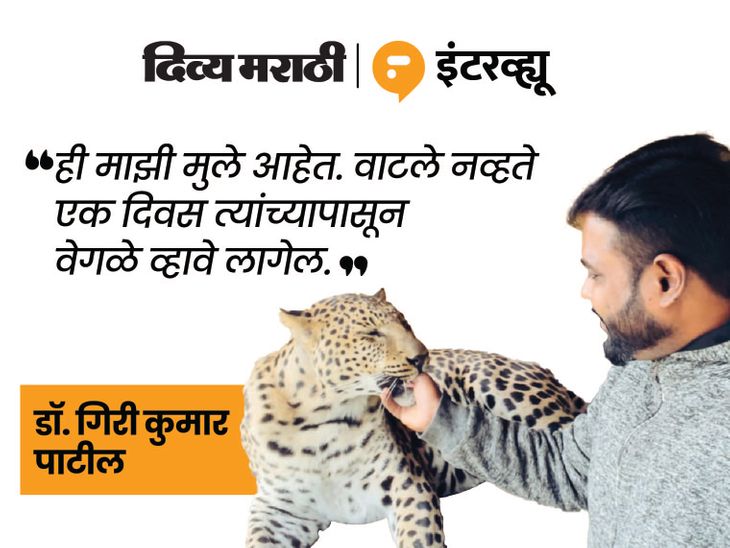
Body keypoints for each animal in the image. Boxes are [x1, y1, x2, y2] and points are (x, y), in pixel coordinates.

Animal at [240, 289, 586, 547]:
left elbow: (420, 538)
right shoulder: (280, 509)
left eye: (405, 323)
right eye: (372, 334)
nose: (422, 357)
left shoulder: (407, 483)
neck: (325, 422)